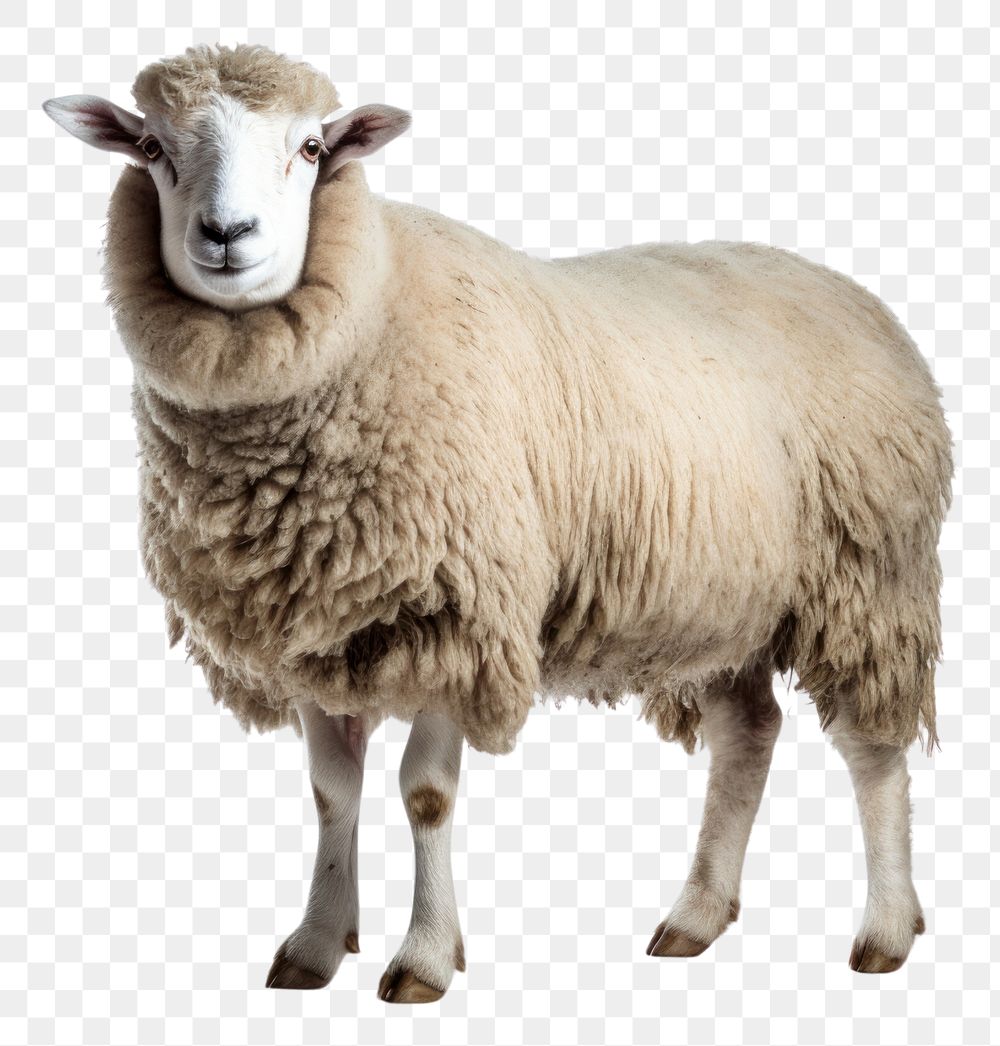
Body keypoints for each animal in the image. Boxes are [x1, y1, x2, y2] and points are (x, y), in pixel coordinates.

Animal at [44, 43, 953, 999]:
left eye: (311, 149)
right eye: (151, 147)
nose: (227, 234)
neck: (372, 312)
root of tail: (858, 297)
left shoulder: (464, 610)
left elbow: (425, 794)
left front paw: (424, 957)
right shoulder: (312, 627)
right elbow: (333, 790)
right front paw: (317, 943)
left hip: (869, 577)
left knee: (871, 751)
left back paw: (887, 929)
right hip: (722, 599)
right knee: (749, 735)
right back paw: (697, 916)